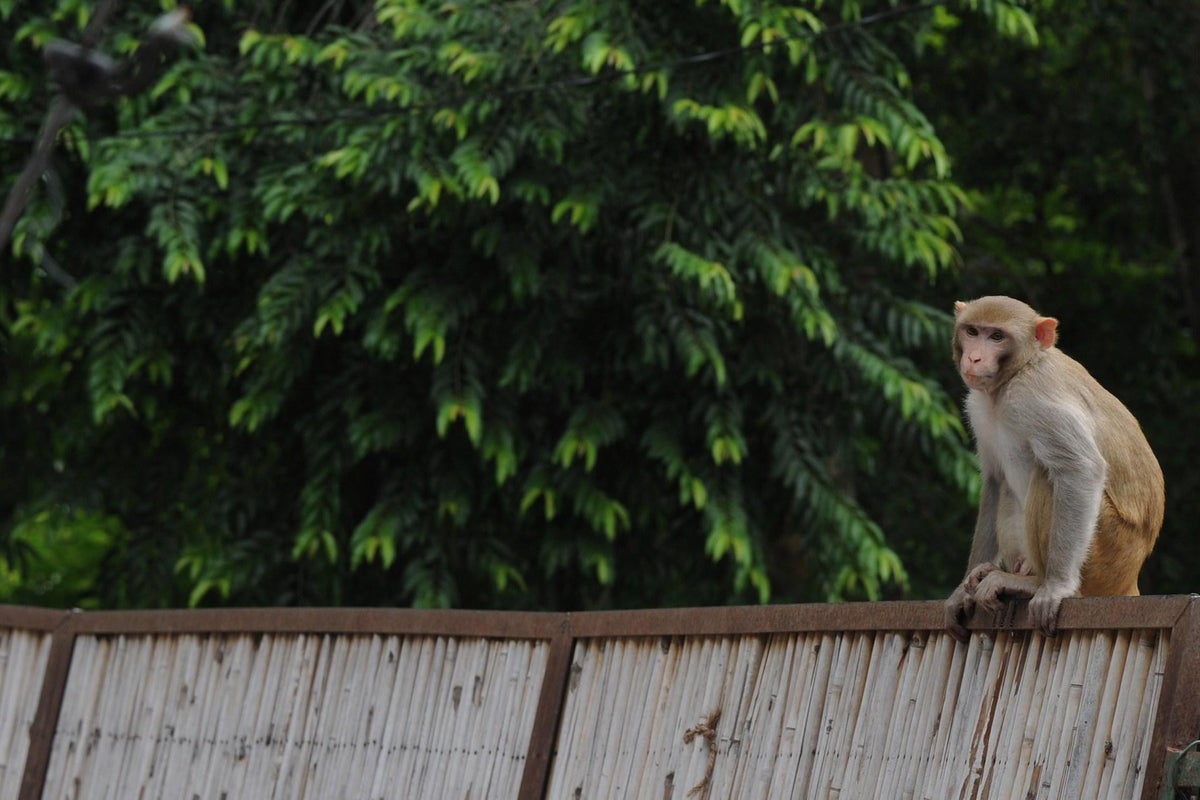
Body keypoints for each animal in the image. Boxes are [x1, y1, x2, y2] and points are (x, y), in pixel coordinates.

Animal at [943, 296, 1164, 640]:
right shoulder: (977, 407)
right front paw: (959, 592)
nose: (975, 357)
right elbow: (994, 480)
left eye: (997, 336)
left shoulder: (1035, 398)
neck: (1013, 377)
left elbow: (1080, 469)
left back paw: (1031, 583)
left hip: (1107, 555)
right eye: (972, 331)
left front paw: (1056, 587)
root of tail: (1132, 574)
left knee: (1050, 475)